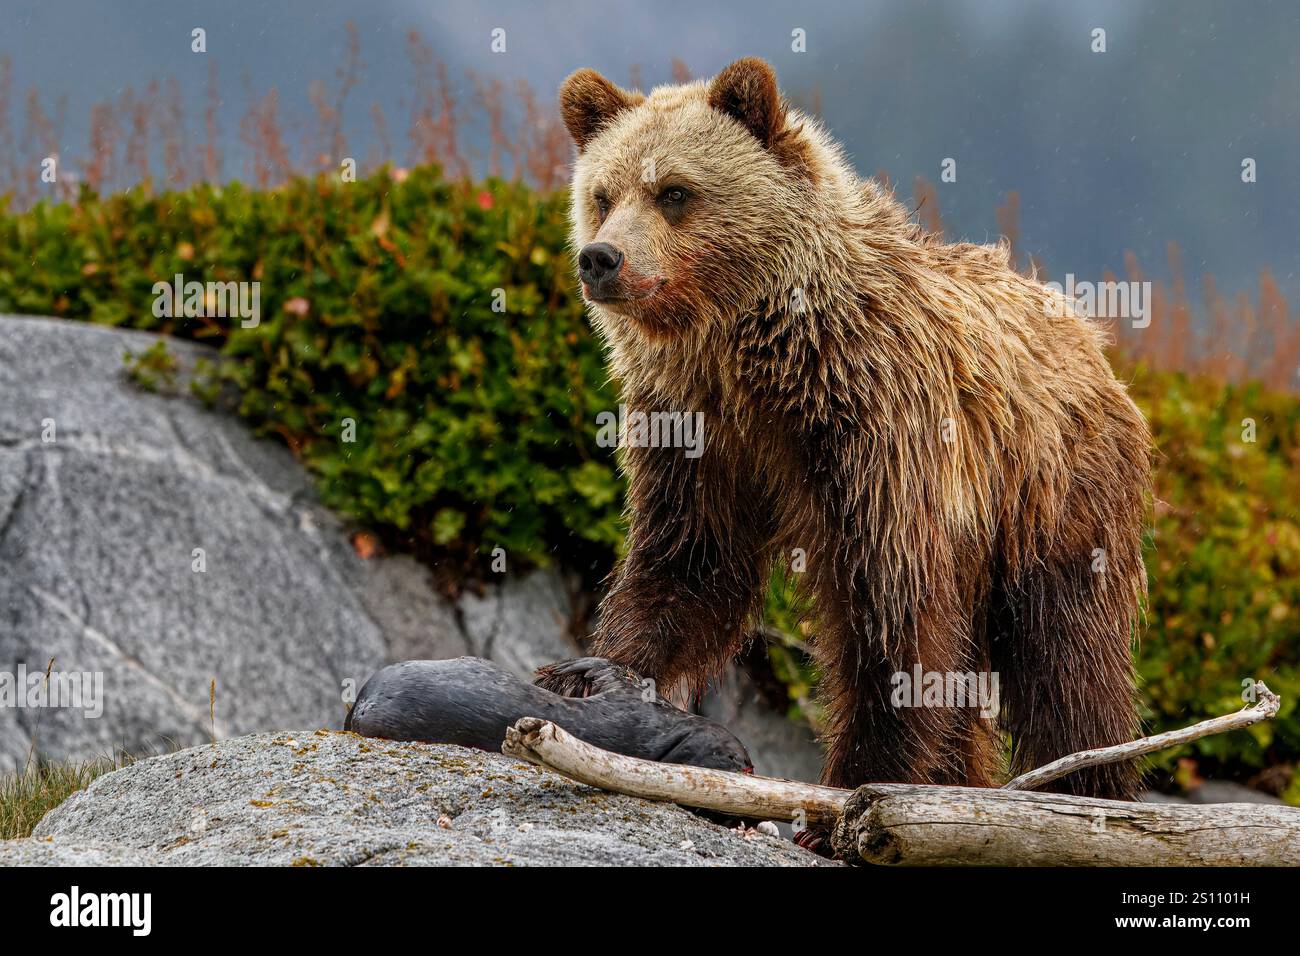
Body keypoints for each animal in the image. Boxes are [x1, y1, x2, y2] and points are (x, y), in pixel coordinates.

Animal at [539, 57, 1151, 807]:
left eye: (674, 192)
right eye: (602, 195)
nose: (602, 258)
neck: (763, 363)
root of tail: (1087, 334)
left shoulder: (876, 434)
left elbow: (892, 611)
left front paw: (855, 784)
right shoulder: (694, 431)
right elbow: (689, 560)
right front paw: (591, 671)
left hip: (1055, 497)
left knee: (1068, 661)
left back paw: (1089, 783)